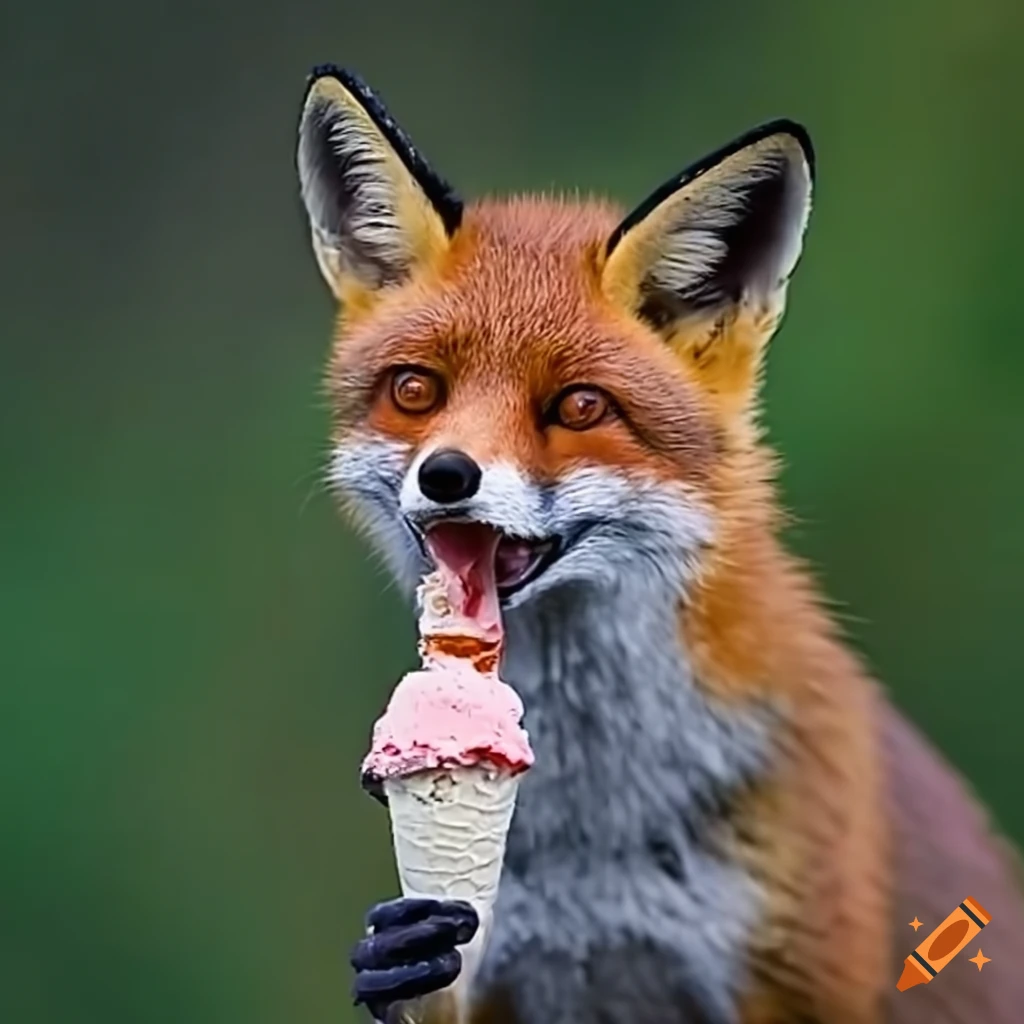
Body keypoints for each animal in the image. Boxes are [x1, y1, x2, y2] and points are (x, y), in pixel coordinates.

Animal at [295, 65, 1024, 1024]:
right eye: (416, 390)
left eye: (579, 406)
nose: (448, 474)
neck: (595, 829)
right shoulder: (500, 967)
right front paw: (395, 958)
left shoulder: (800, 979)